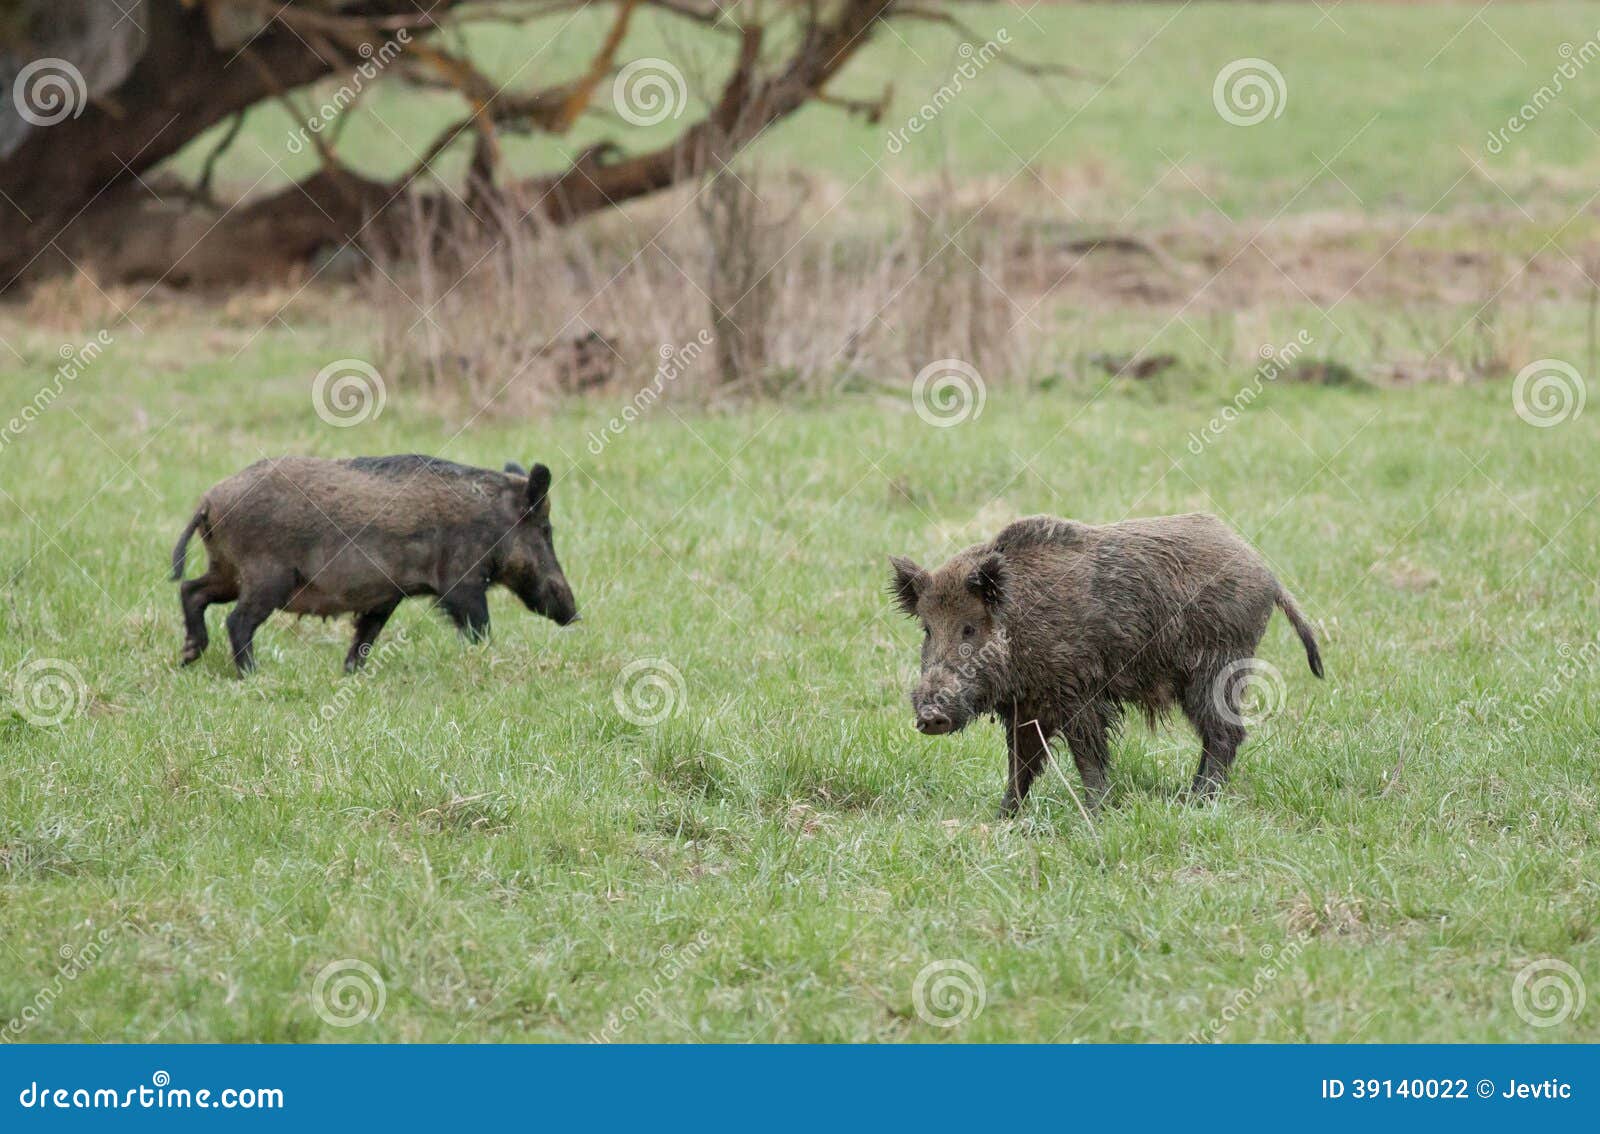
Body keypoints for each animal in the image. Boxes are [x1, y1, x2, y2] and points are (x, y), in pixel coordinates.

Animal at [171, 455, 578, 675]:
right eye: (545, 530)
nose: (575, 614)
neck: (491, 522)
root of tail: (209, 500)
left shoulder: (385, 597)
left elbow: (366, 637)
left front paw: (350, 675)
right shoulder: (461, 582)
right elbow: (479, 627)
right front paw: (486, 658)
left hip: (227, 572)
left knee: (191, 590)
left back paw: (189, 656)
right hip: (265, 578)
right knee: (236, 620)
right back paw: (253, 674)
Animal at [889, 513, 1322, 815]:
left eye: (969, 628)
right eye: (927, 629)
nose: (930, 715)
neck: (1019, 623)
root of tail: (1266, 572)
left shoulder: (1078, 692)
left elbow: (1088, 756)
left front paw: (1096, 814)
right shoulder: (1025, 708)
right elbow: (1021, 765)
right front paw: (1004, 817)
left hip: (1216, 669)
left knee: (1225, 734)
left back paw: (1196, 801)